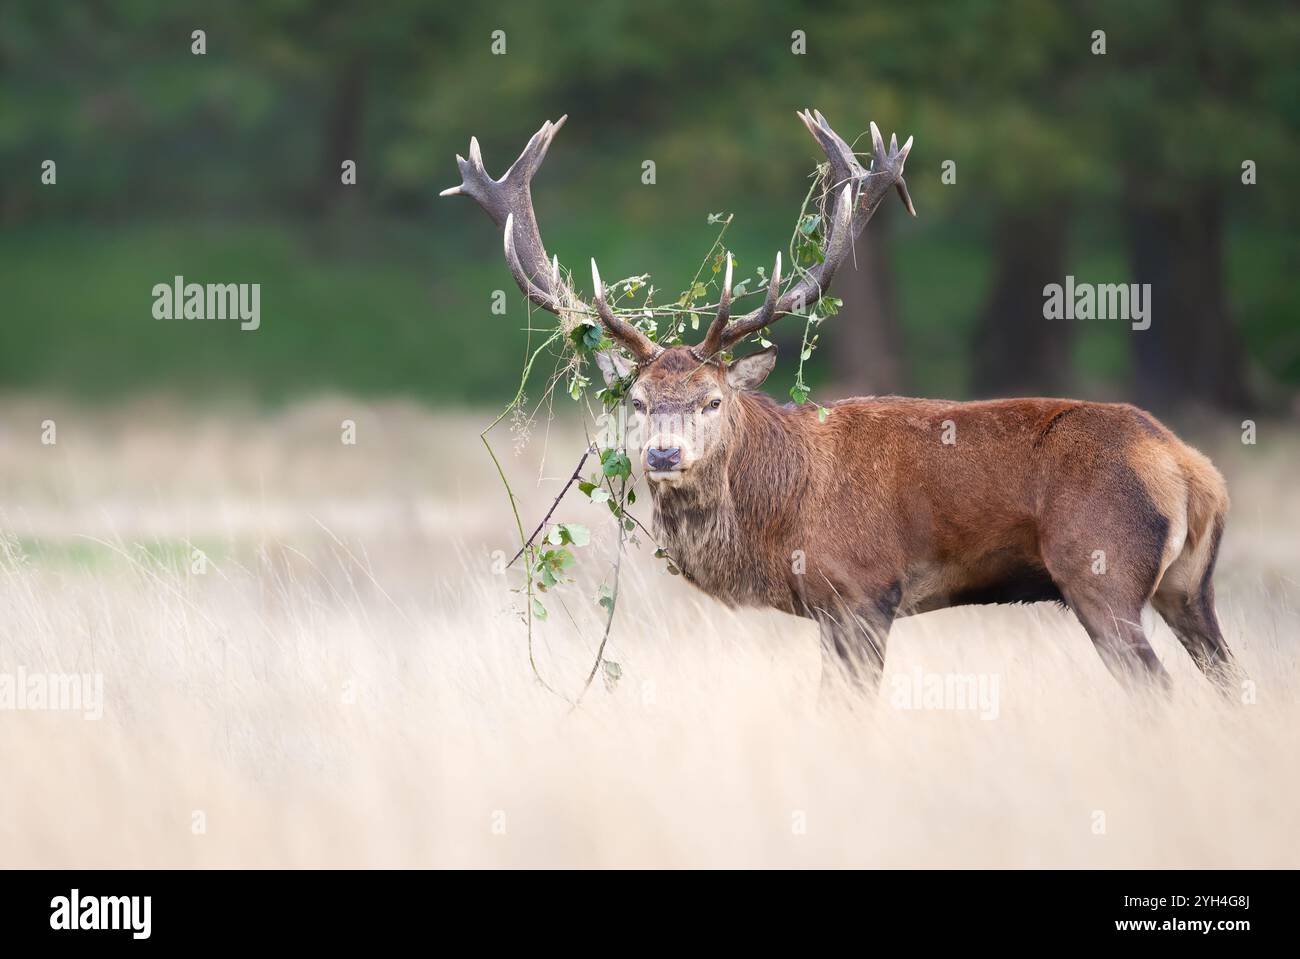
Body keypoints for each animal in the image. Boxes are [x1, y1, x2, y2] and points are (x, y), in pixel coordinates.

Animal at [442, 111, 1242, 696]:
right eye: (636, 399)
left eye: (711, 400)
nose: (664, 455)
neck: (780, 516)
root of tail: (1192, 469)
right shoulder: (832, 610)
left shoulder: (863, 591)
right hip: (1189, 589)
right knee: (1232, 683)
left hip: (1102, 572)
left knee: (1158, 690)